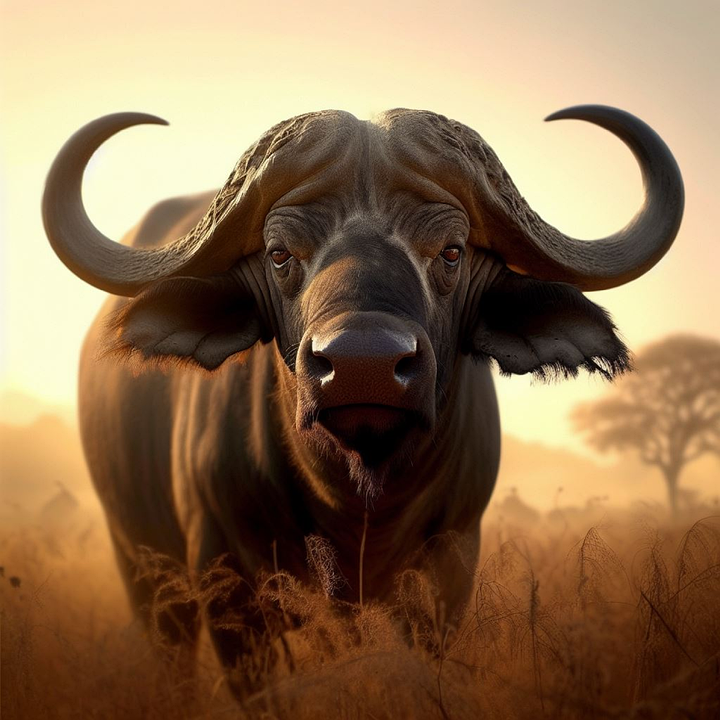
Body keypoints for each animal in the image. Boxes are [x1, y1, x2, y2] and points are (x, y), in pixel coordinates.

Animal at [43, 106, 683, 686]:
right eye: (280, 254)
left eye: (451, 251)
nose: (363, 366)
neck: (359, 506)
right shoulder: (226, 586)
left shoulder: (447, 573)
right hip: (143, 564)